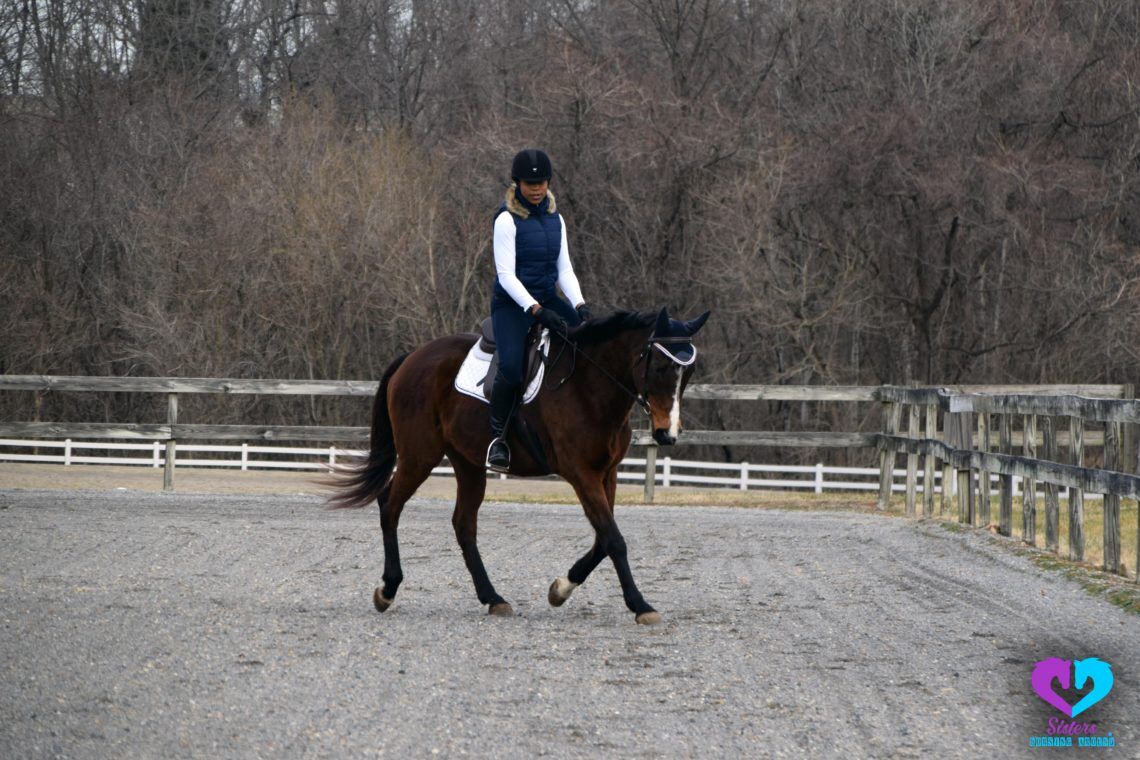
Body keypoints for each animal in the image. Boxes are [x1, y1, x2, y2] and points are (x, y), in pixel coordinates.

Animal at [326, 307, 710, 624]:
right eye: (660, 367)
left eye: (689, 371)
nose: (666, 434)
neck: (590, 386)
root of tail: (413, 357)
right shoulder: (581, 474)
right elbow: (613, 540)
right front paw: (640, 605)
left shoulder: (607, 472)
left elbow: (603, 539)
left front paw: (560, 589)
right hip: (420, 455)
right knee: (390, 505)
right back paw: (387, 590)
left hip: (467, 462)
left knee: (463, 524)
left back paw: (493, 598)